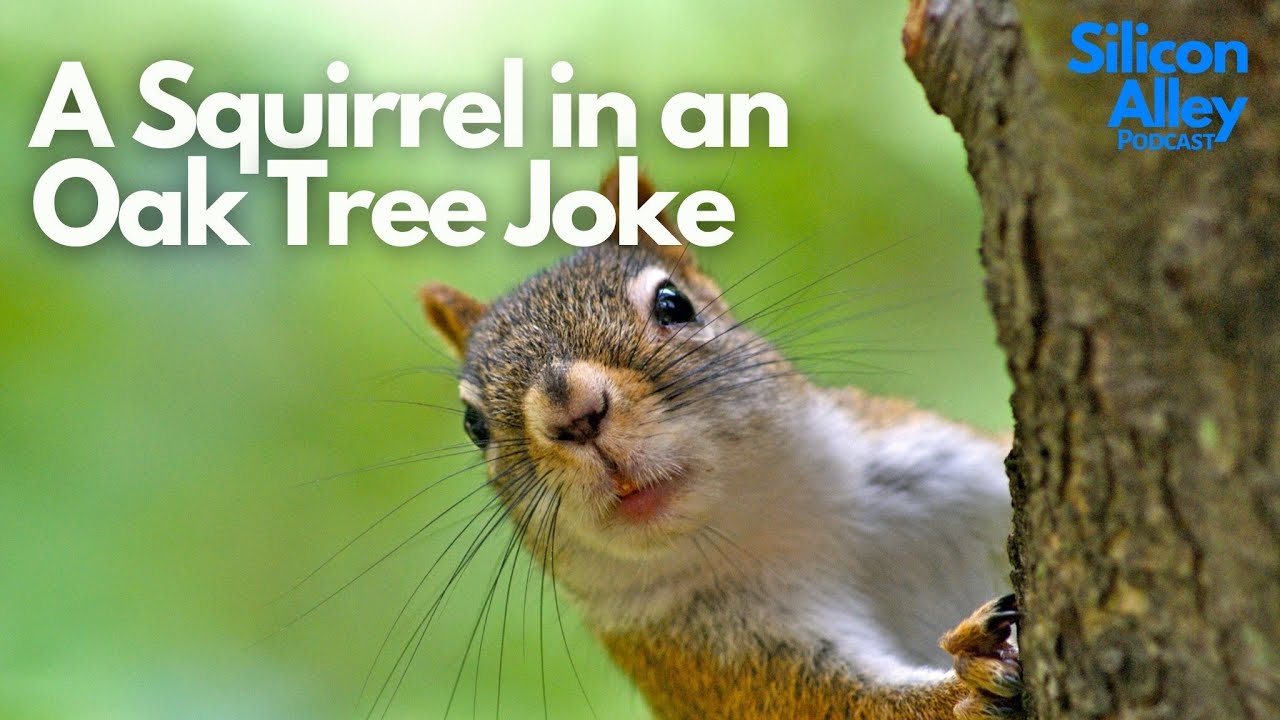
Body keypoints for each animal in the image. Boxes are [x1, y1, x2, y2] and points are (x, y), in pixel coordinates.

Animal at [417, 167, 1023, 720]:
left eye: (673, 304)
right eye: (474, 424)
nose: (574, 414)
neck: (771, 525)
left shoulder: (942, 465)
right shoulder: (714, 660)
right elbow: (835, 706)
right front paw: (966, 688)